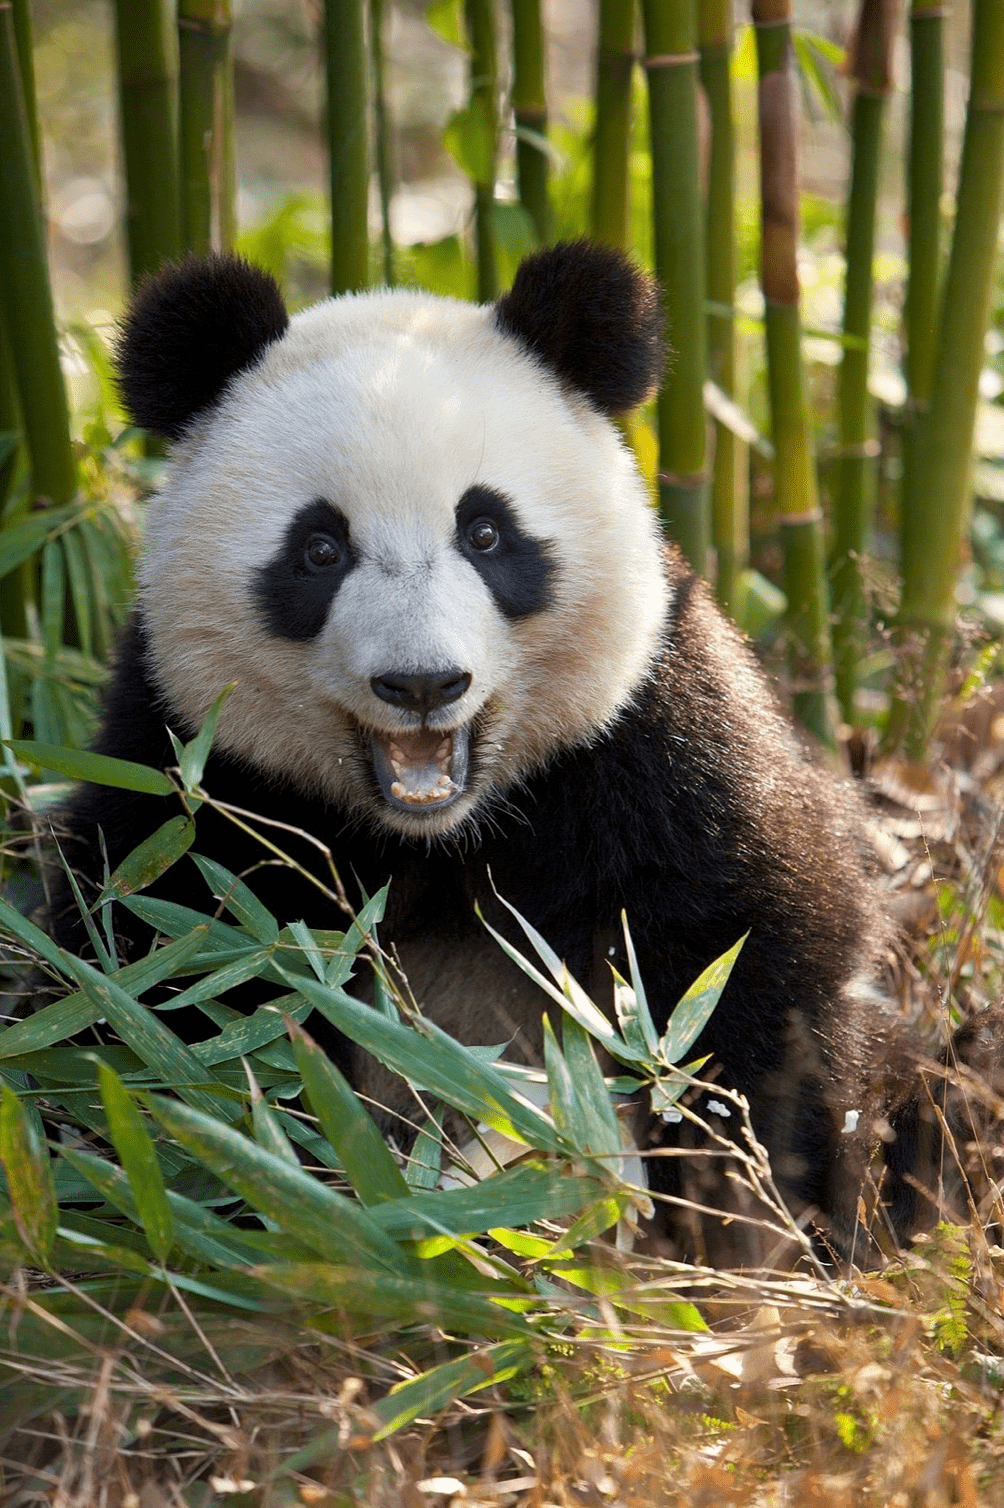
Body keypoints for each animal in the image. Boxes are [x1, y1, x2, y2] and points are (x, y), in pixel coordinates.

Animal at [48, 241, 954, 1261]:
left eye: (485, 532)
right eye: (319, 549)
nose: (422, 683)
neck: (439, 834)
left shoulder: (651, 742)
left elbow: (753, 964)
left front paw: (742, 1217)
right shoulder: (195, 771)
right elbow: (153, 984)